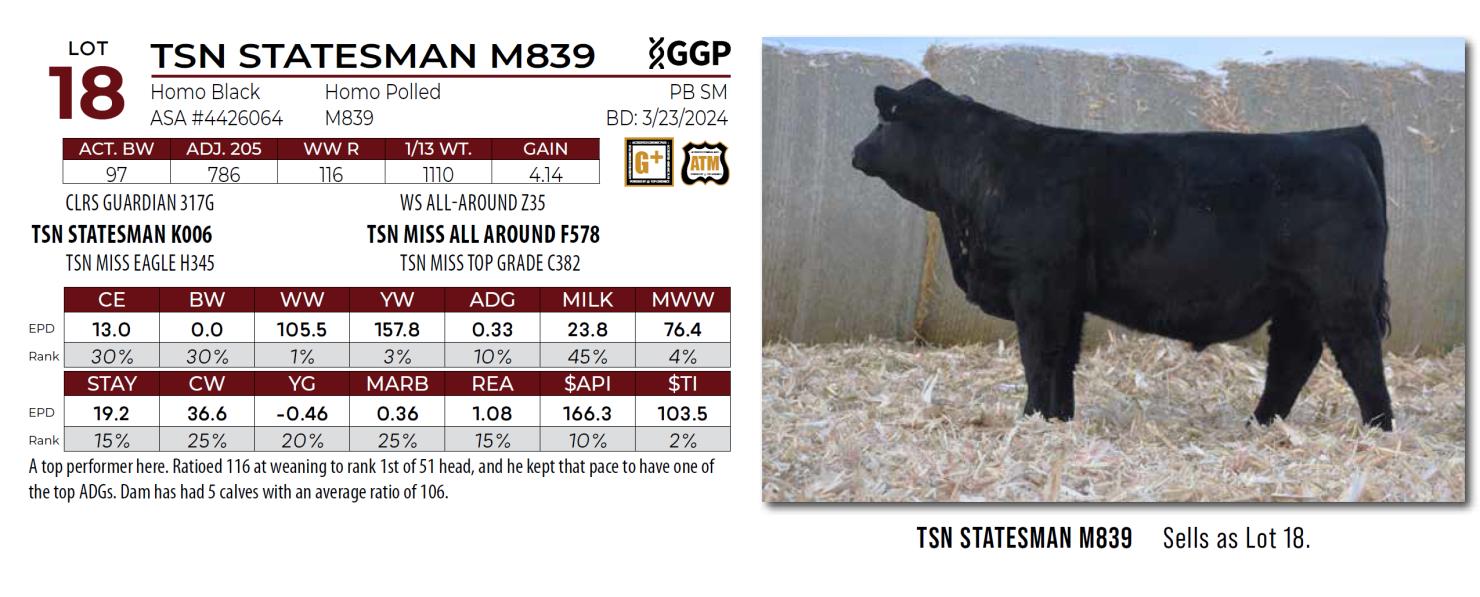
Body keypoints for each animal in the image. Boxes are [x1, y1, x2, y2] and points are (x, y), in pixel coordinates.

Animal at [851, 78, 1393, 430]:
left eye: (883, 120)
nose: (856, 151)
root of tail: (1343, 136)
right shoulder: (1067, 297)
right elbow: (1062, 359)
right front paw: (1059, 419)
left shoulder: (1037, 285)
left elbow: (1038, 353)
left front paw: (1031, 418)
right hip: (1298, 301)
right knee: (1293, 359)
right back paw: (1258, 425)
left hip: (1341, 294)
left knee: (1359, 356)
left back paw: (1378, 429)